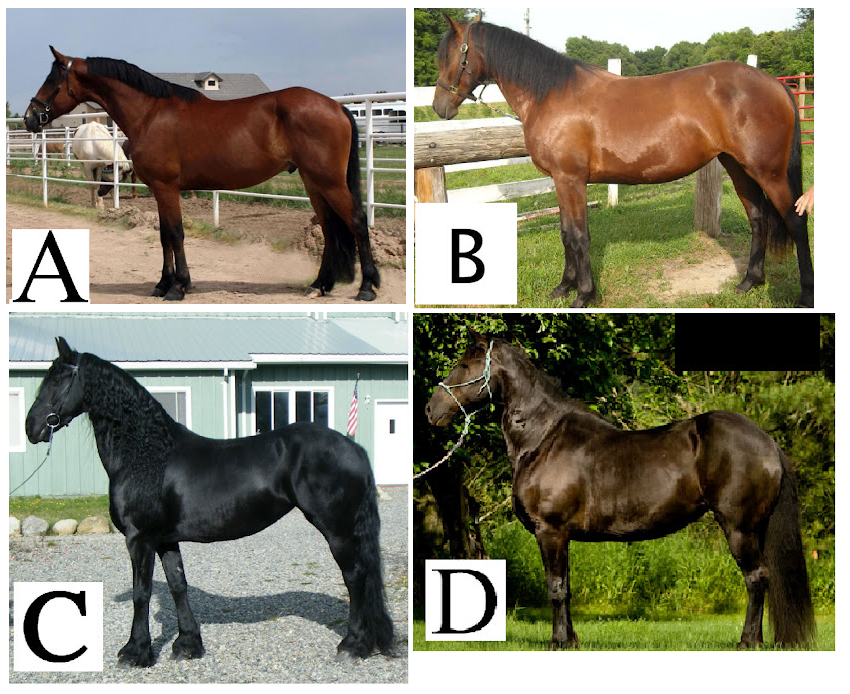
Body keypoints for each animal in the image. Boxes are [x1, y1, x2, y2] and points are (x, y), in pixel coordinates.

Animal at [24, 46, 381, 301]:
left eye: (53, 80)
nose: (29, 117)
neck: (151, 114)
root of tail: (335, 107)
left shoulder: (167, 187)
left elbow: (176, 233)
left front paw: (177, 287)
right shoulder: (159, 189)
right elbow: (164, 235)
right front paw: (162, 283)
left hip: (328, 181)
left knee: (356, 221)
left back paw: (367, 288)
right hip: (313, 182)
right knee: (330, 228)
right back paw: (319, 285)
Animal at [25, 337, 394, 666]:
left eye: (58, 379)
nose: (31, 427)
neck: (147, 455)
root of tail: (352, 446)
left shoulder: (139, 538)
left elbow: (141, 592)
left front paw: (135, 652)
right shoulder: (165, 539)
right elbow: (178, 585)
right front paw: (187, 645)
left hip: (337, 530)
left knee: (355, 577)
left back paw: (353, 645)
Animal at [425, 332, 815, 649]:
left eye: (463, 364)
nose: (431, 409)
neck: (544, 438)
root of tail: (766, 441)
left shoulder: (550, 531)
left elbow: (555, 588)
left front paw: (557, 642)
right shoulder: (561, 536)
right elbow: (566, 586)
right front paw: (571, 640)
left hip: (739, 529)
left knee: (756, 578)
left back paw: (747, 641)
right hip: (756, 528)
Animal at [432, 15, 813, 308]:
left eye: (452, 54)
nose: (440, 107)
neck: (551, 95)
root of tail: (776, 85)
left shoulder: (571, 179)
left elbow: (579, 236)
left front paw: (584, 295)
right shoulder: (559, 180)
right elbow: (565, 234)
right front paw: (563, 287)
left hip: (769, 172)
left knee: (795, 222)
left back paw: (805, 296)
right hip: (739, 167)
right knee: (758, 219)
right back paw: (749, 282)